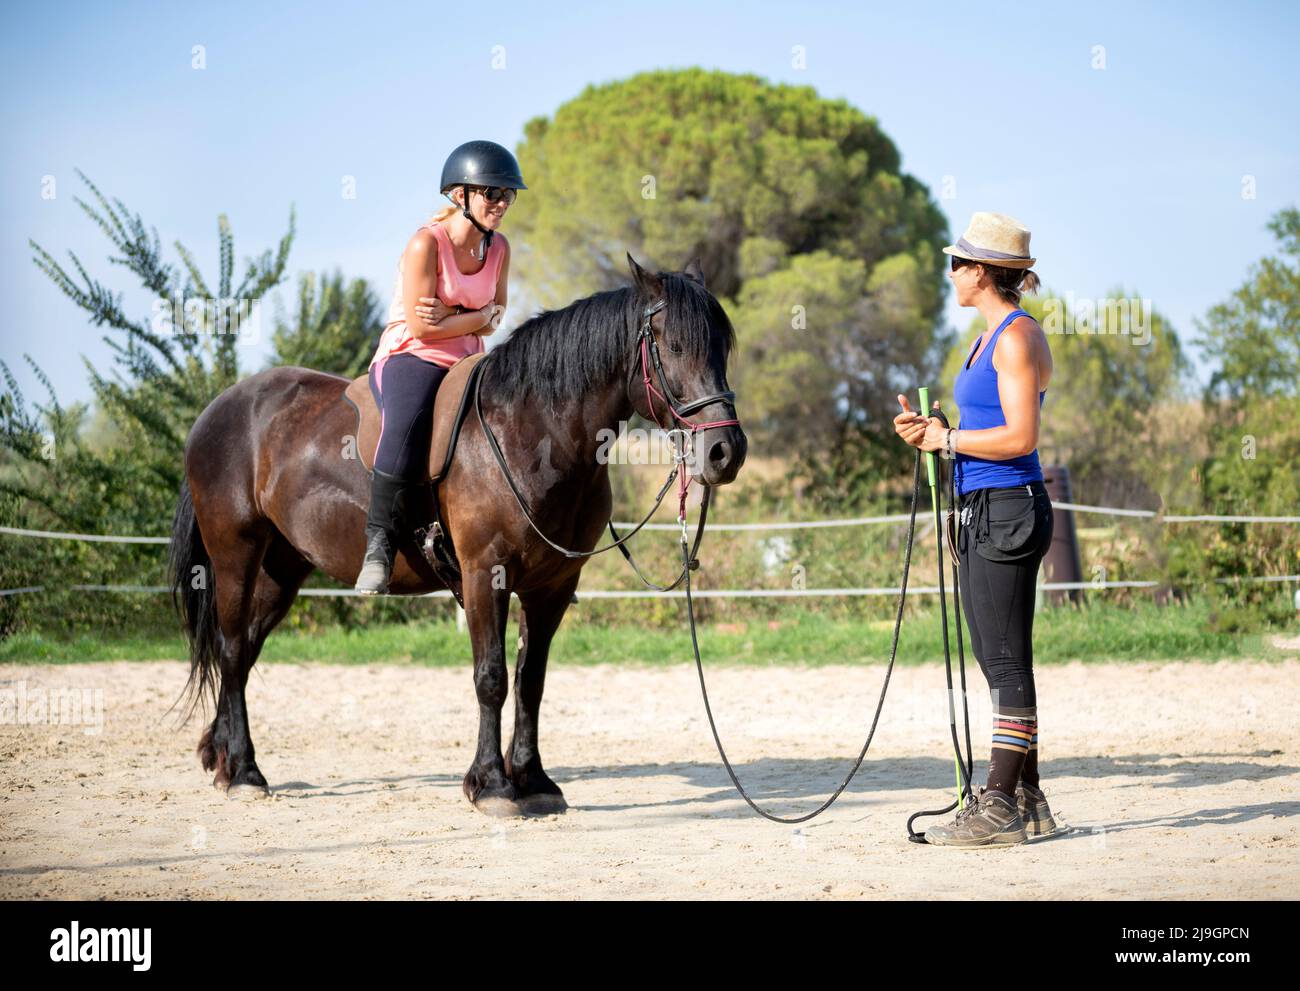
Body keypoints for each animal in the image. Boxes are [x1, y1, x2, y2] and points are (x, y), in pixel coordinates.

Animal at [167, 254, 747, 816]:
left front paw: (534, 780)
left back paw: (221, 757)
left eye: (722, 348)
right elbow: (491, 677)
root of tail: (220, 409)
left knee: (241, 648)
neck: (531, 434)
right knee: (233, 649)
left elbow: (531, 681)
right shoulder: (483, 574)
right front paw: (492, 785)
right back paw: (244, 771)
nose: (726, 452)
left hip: (283, 567)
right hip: (235, 554)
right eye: (674, 346)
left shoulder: (552, 587)